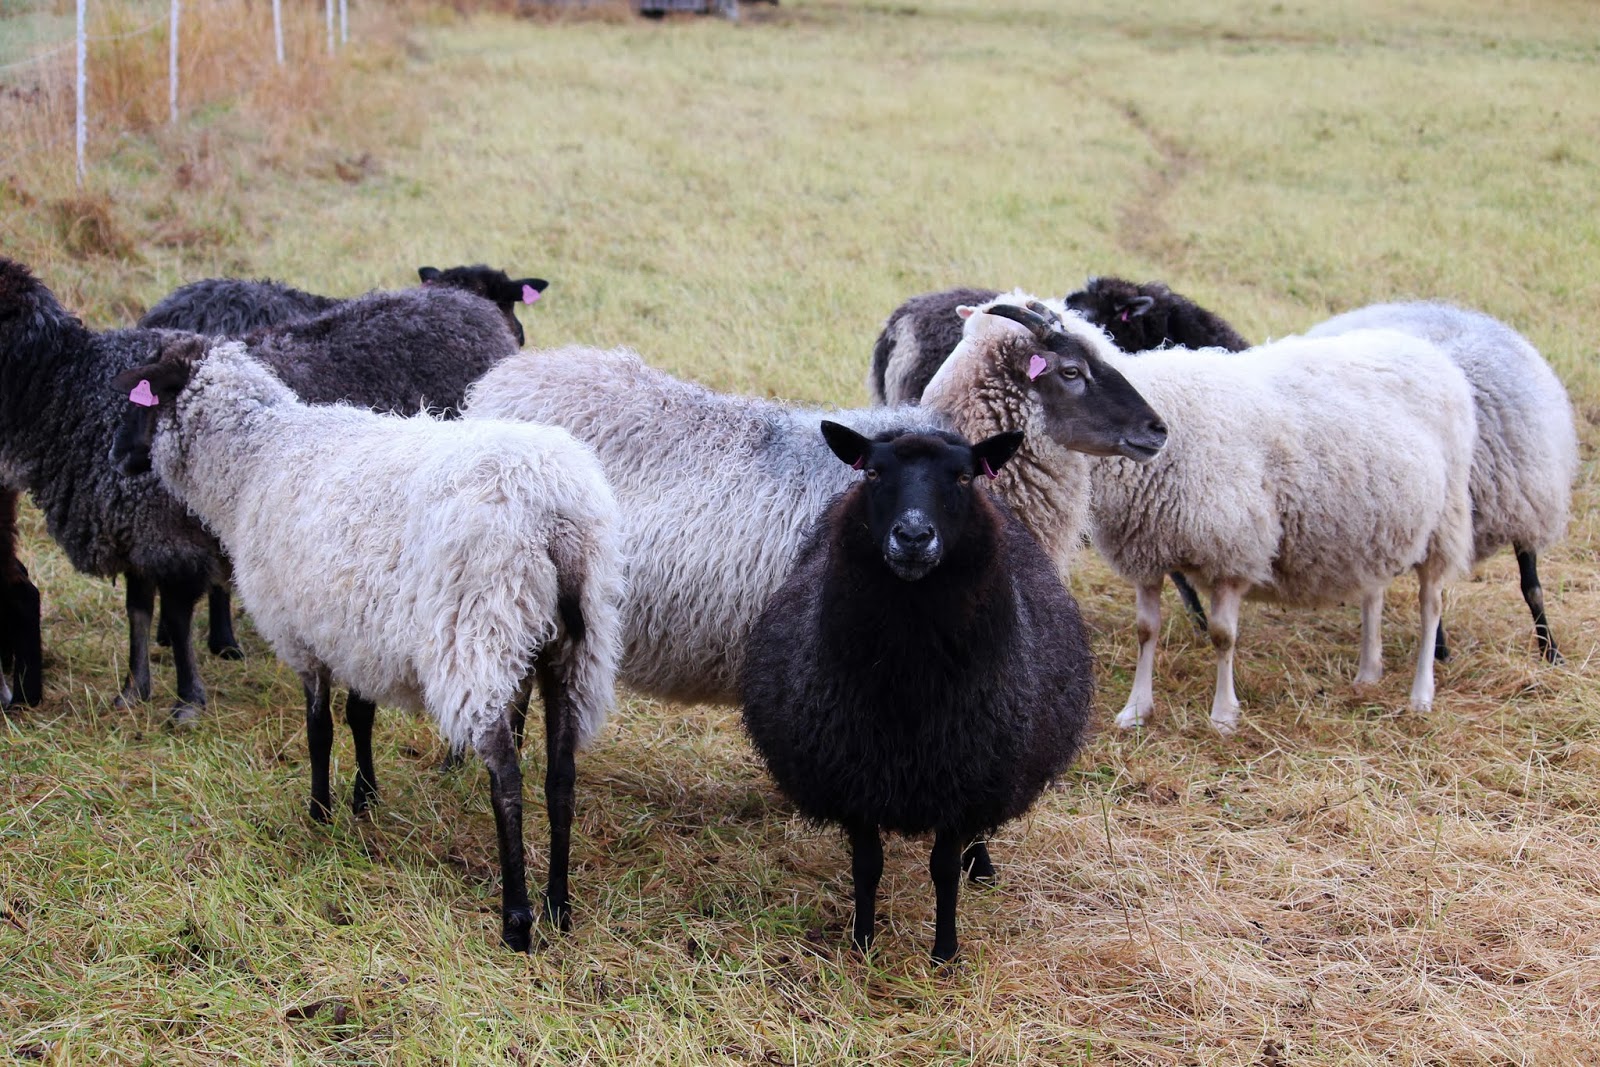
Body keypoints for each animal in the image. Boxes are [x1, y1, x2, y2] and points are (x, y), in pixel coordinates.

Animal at [109, 334, 624, 949]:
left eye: (142, 400)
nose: (116, 456)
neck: (255, 462)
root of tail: (555, 514)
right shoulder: (356, 632)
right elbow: (359, 716)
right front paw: (364, 798)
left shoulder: (303, 635)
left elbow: (319, 730)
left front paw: (320, 810)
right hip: (579, 652)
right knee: (561, 777)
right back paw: (559, 906)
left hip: (480, 637)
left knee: (507, 779)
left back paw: (517, 919)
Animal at [740, 422, 1093, 963]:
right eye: (872, 472)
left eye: (964, 476)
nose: (912, 536)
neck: (910, 683)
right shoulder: (853, 777)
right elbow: (867, 867)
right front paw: (863, 943)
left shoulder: (964, 778)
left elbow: (943, 870)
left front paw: (945, 952)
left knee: (977, 834)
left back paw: (982, 867)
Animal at [984, 301, 1477, 734]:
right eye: (1072, 372)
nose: (1156, 430)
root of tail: (1425, 351)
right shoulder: (1147, 551)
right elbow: (1146, 630)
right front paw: (1136, 710)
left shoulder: (1231, 552)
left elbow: (1223, 637)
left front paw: (1223, 716)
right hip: (1378, 526)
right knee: (1373, 592)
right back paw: (1368, 672)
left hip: (1445, 522)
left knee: (1430, 605)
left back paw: (1421, 694)